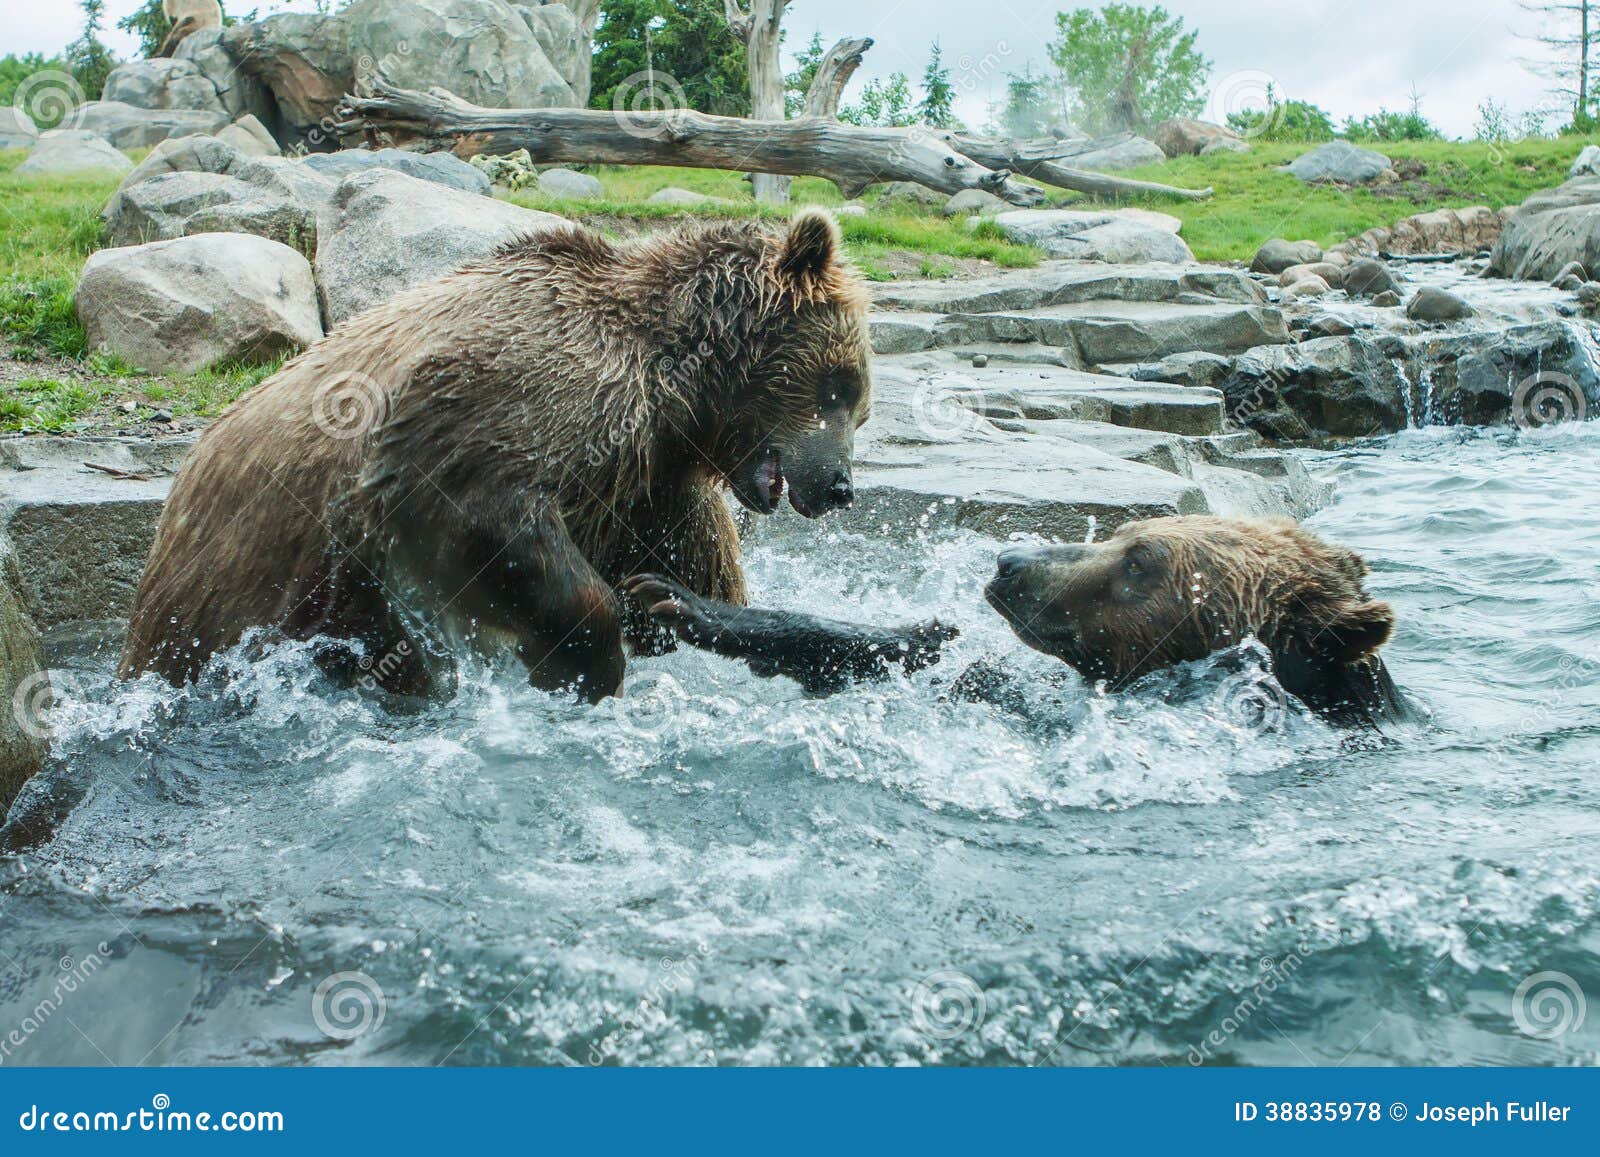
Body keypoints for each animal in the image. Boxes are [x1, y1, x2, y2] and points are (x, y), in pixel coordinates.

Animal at [119, 211, 871, 701]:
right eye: (841, 386)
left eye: (858, 404)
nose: (839, 484)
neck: (673, 392)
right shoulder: (501, 405)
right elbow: (488, 515)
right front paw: (585, 663)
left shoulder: (650, 490)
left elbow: (703, 576)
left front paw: (684, 612)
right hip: (240, 585)